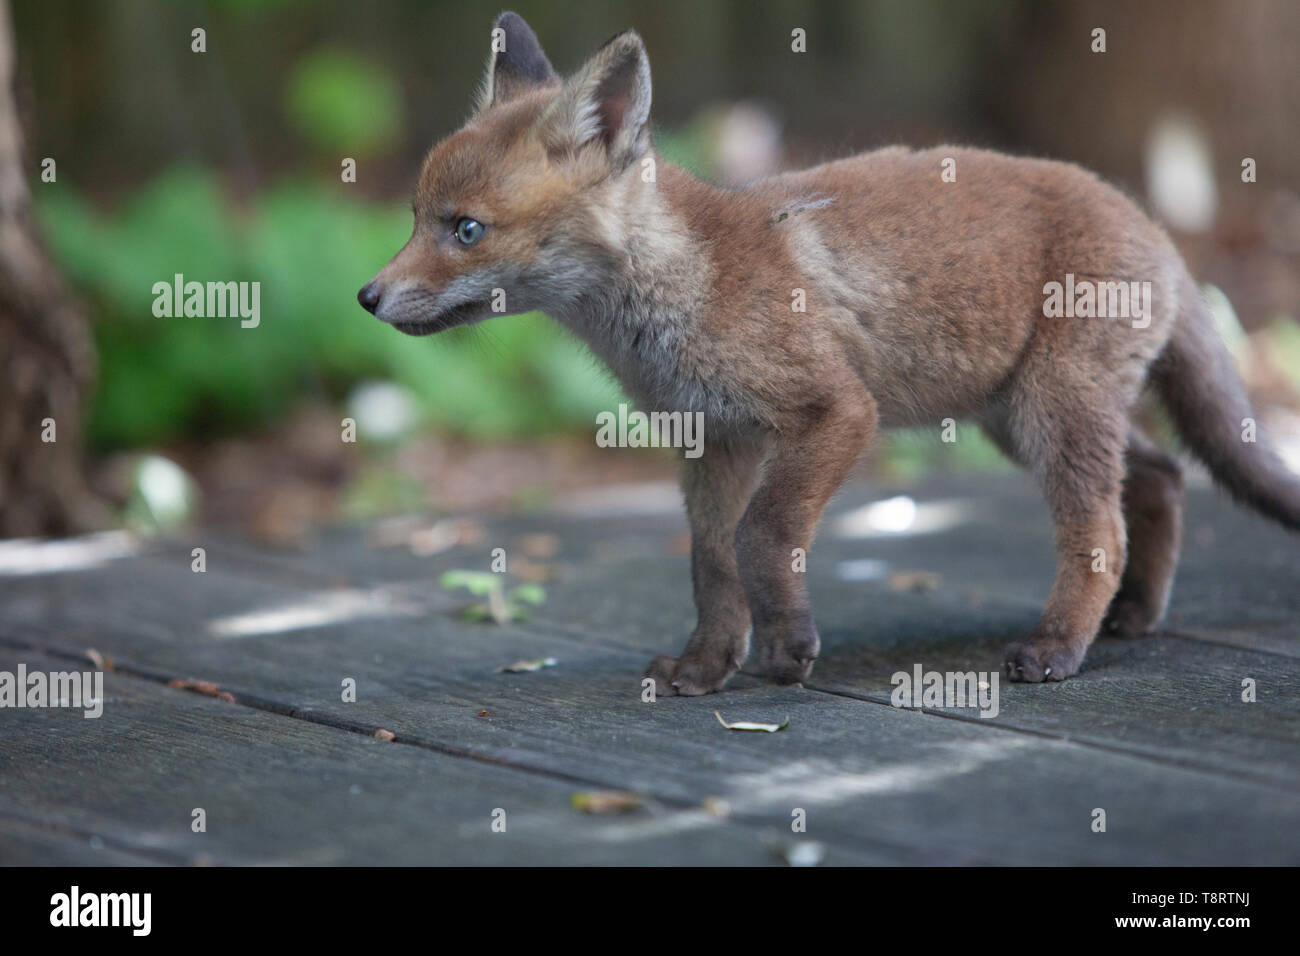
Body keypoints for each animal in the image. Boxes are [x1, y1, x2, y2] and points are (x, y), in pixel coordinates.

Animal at [359, 12, 1300, 693]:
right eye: (415, 217)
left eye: (466, 229)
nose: (367, 297)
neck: (684, 289)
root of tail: (1150, 220)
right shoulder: (712, 444)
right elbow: (711, 564)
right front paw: (707, 666)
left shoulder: (836, 412)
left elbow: (763, 537)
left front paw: (788, 647)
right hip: (1015, 418)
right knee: (1164, 476)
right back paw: (1133, 615)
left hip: (1050, 414)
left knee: (1101, 527)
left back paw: (1059, 646)